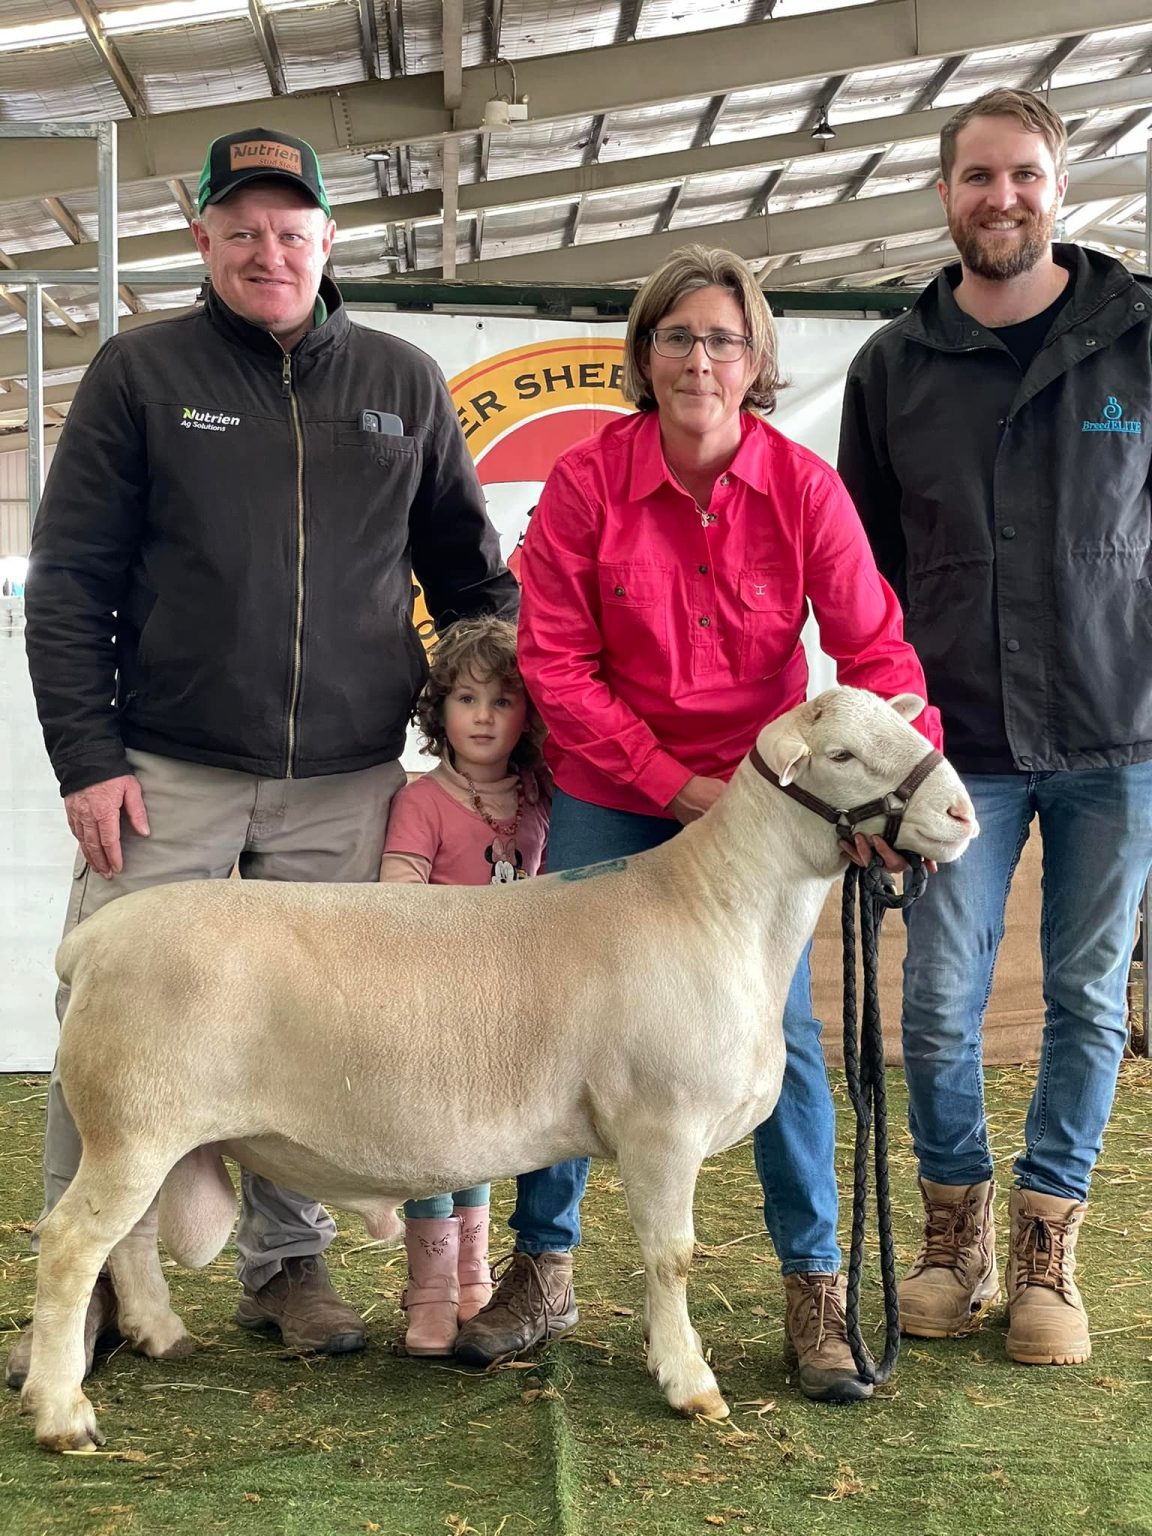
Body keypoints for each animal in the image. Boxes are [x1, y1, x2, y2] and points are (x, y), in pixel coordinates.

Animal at [20, 687, 977, 1451]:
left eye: (903, 729)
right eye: (842, 757)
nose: (964, 817)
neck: (715, 905)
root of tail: (89, 943)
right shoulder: (662, 1126)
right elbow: (671, 1257)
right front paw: (689, 1383)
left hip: (148, 1130)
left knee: (129, 1238)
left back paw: (160, 1334)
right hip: (135, 1122)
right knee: (70, 1244)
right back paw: (62, 1411)